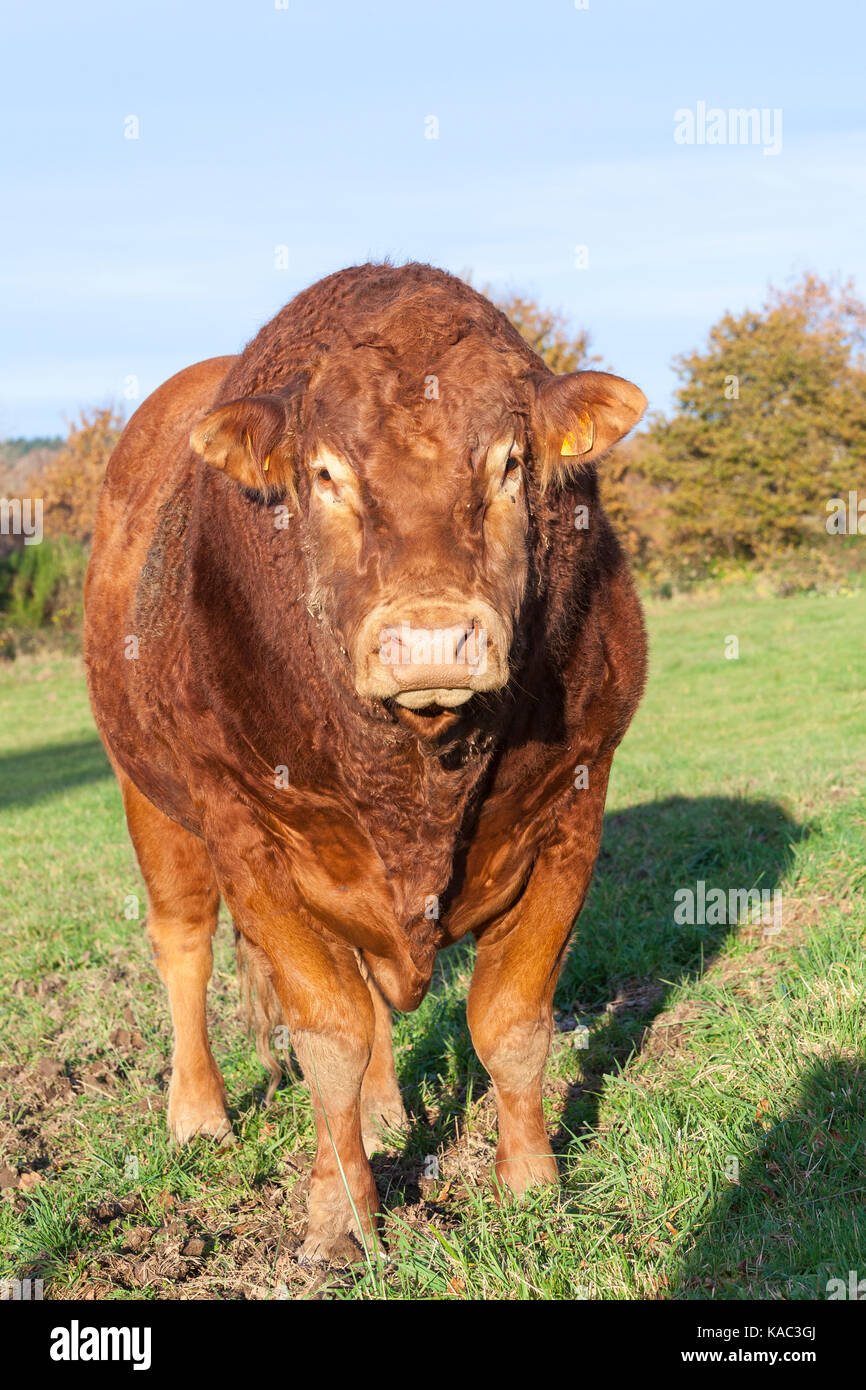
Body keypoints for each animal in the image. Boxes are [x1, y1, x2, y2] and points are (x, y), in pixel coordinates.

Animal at [84, 262, 647, 1261]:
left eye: (510, 462)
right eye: (325, 474)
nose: (430, 639)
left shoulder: (574, 808)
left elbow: (510, 1019)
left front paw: (531, 1186)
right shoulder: (247, 831)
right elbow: (329, 1034)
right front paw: (340, 1215)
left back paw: (387, 1115)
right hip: (145, 792)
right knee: (183, 946)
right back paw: (197, 1115)